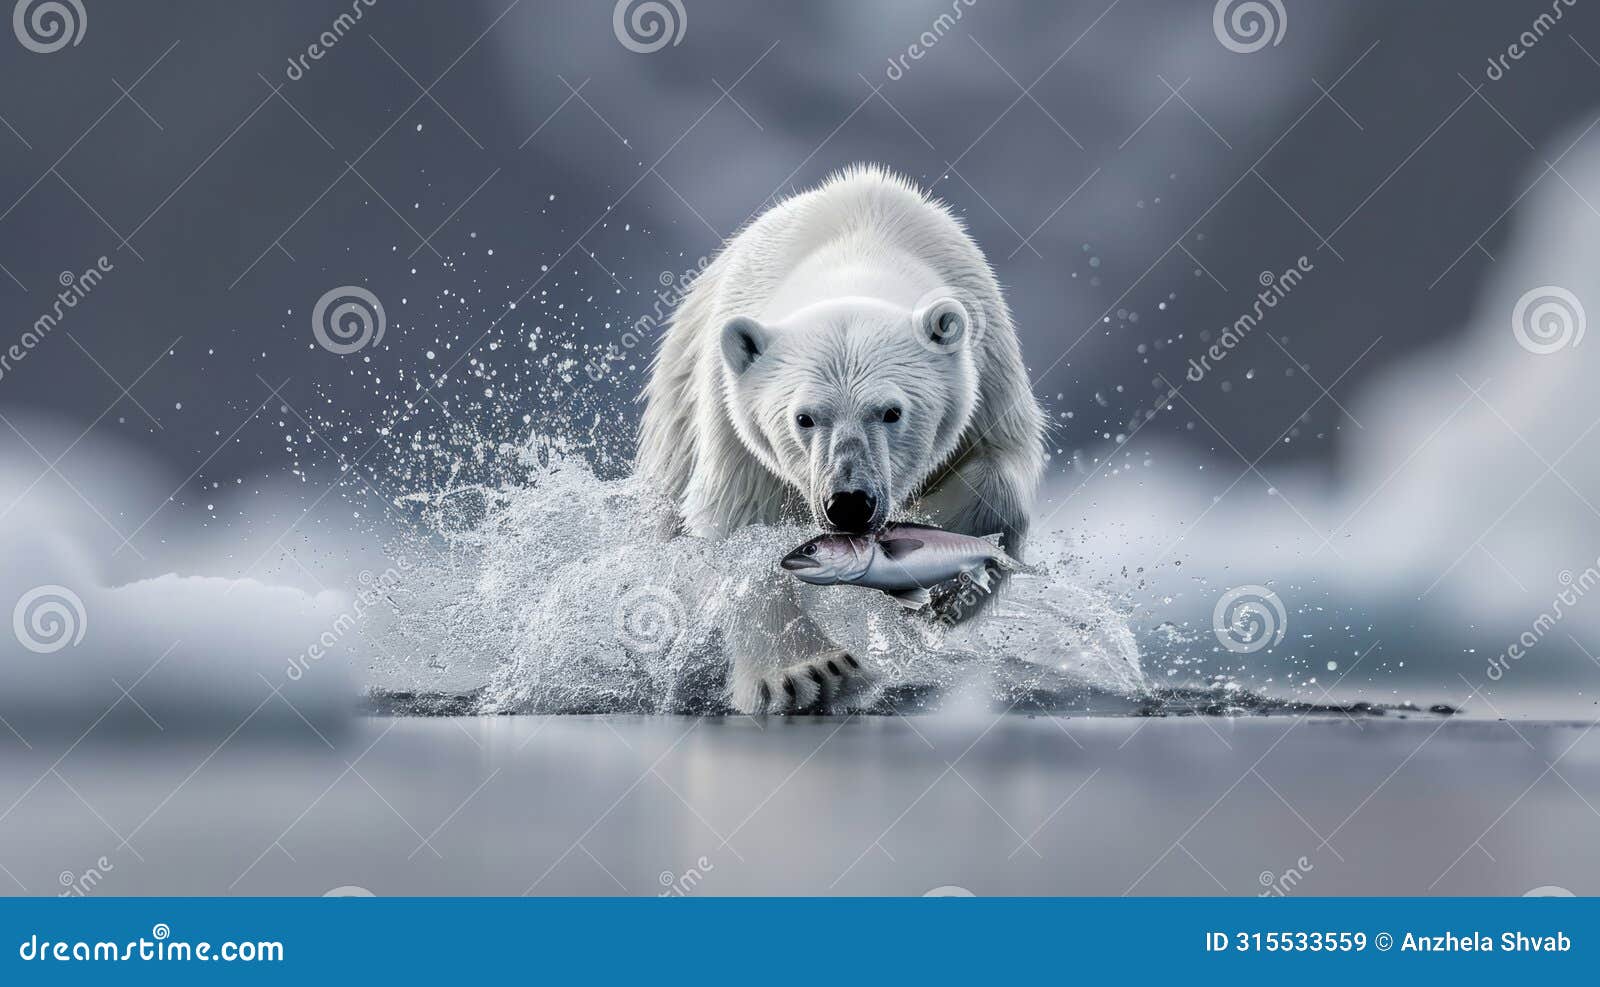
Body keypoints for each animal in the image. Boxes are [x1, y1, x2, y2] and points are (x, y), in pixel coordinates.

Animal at [637, 164, 1045, 713]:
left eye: (892, 412)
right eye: (804, 418)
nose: (849, 503)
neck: (860, 241)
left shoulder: (987, 366)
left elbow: (998, 471)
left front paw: (940, 587)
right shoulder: (733, 423)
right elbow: (744, 526)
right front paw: (806, 674)